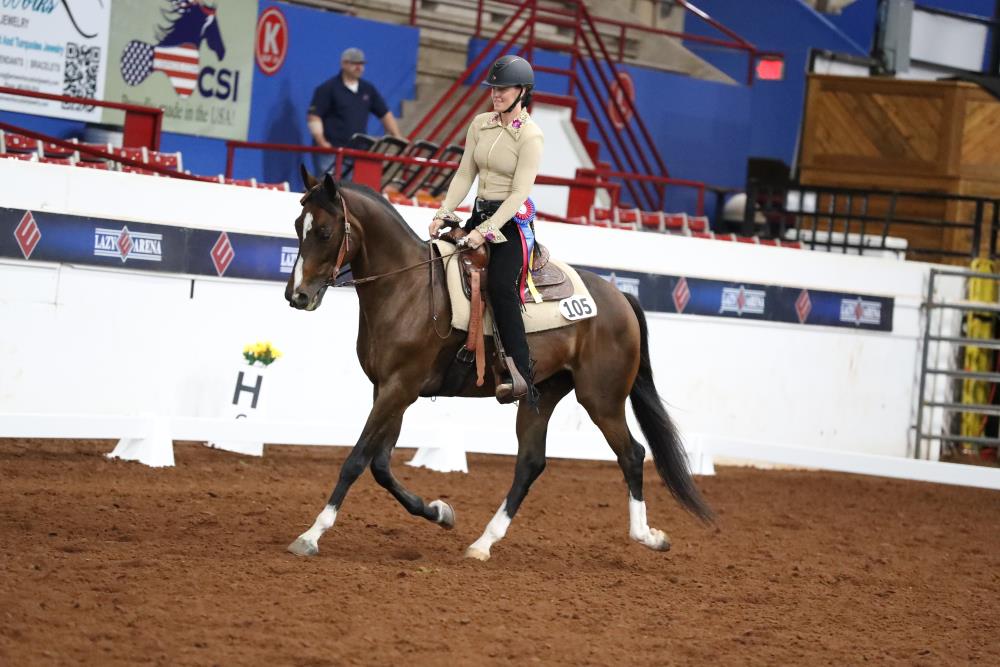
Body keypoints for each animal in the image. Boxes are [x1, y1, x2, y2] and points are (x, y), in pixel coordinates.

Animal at [284, 168, 712, 561]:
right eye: (296, 226)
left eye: (324, 232)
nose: (297, 296)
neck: (409, 290)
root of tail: (620, 297)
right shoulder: (389, 389)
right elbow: (381, 465)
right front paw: (440, 512)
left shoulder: (399, 388)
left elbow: (356, 460)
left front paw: (311, 534)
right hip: (544, 394)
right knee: (530, 463)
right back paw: (483, 543)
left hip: (601, 399)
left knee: (632, 455)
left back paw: (648, 536)